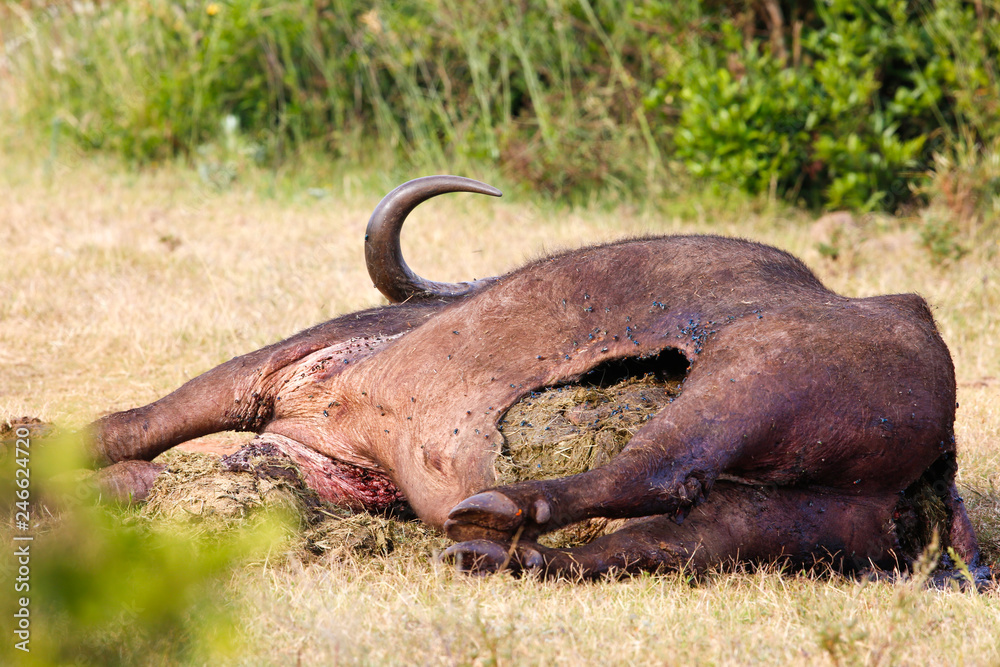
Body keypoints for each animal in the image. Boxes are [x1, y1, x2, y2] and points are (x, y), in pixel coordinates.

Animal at [88, 175, 984, 579]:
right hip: (786, 525)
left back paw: (496, 512)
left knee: (661, 468)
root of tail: (935, 450)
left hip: (748, 375)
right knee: (654, 536)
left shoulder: (281, 367)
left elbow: (148, 417)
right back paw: (497, 551)